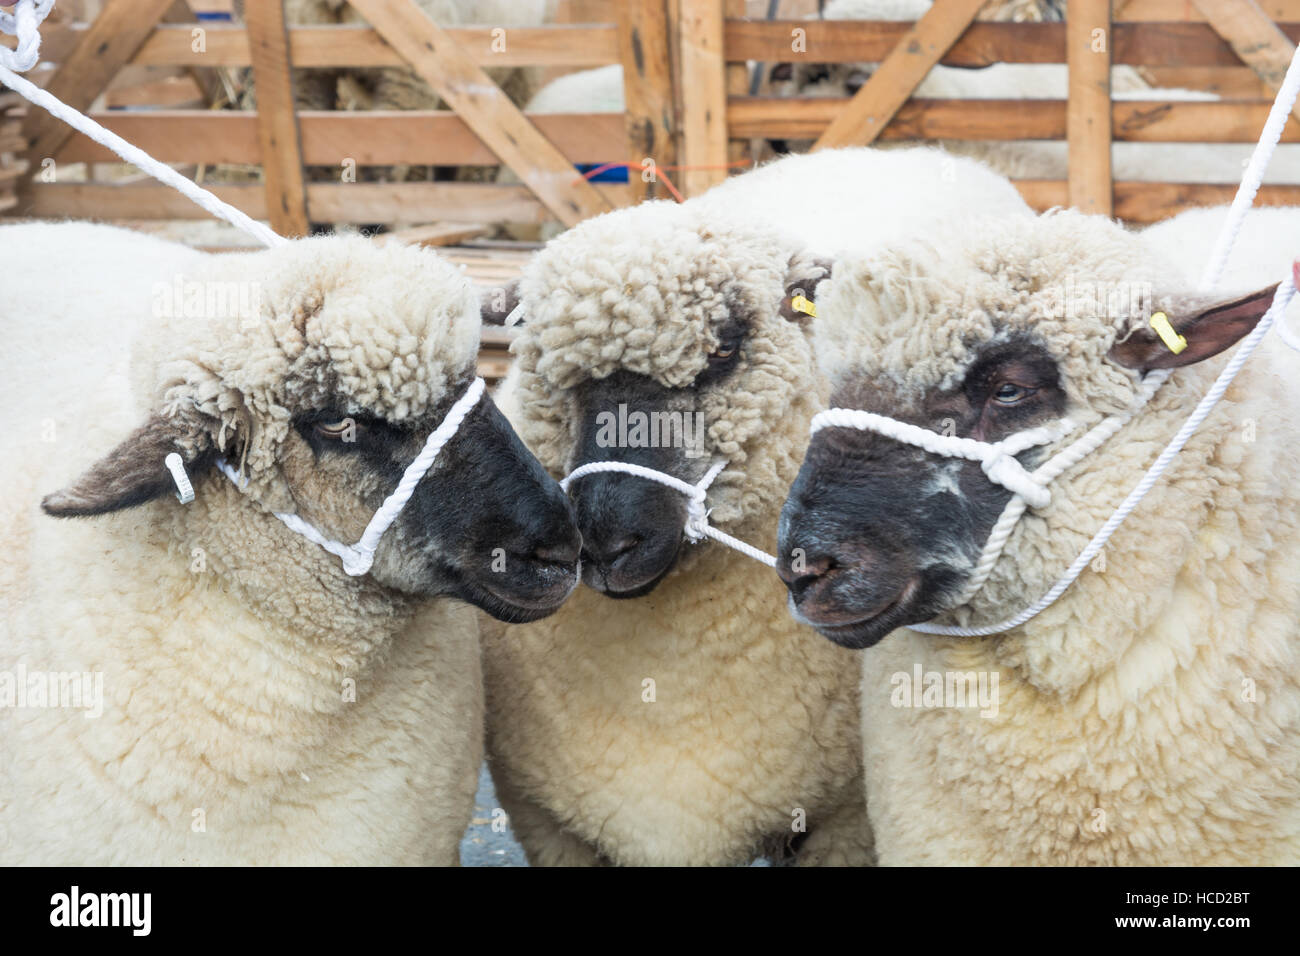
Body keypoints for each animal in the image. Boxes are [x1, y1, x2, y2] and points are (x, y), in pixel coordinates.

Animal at [482, 146, 1033, 866]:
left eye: (724, 349)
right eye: (547, 369)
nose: (604, 542)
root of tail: (915, 152)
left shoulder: (839, 822)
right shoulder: (548, 826)